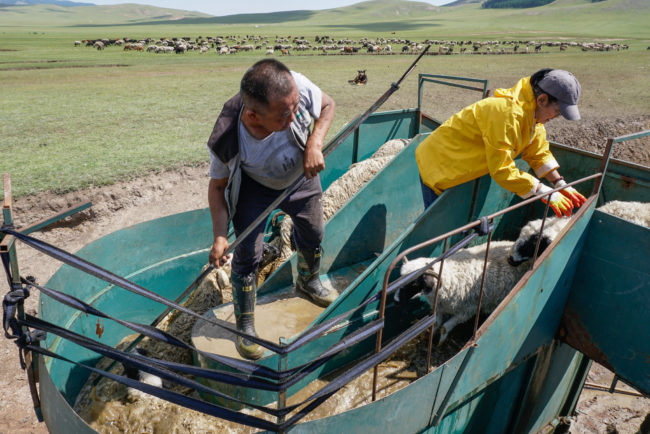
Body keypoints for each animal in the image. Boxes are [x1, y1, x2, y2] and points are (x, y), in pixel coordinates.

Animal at [398, 216, 570, 344]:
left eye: (414, 283)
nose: (396, 300)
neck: (449, 276)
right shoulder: (440, 308)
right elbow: (436, 325)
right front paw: (431, 339)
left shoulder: (467, 310)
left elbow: (445, 328)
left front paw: (440, 343)